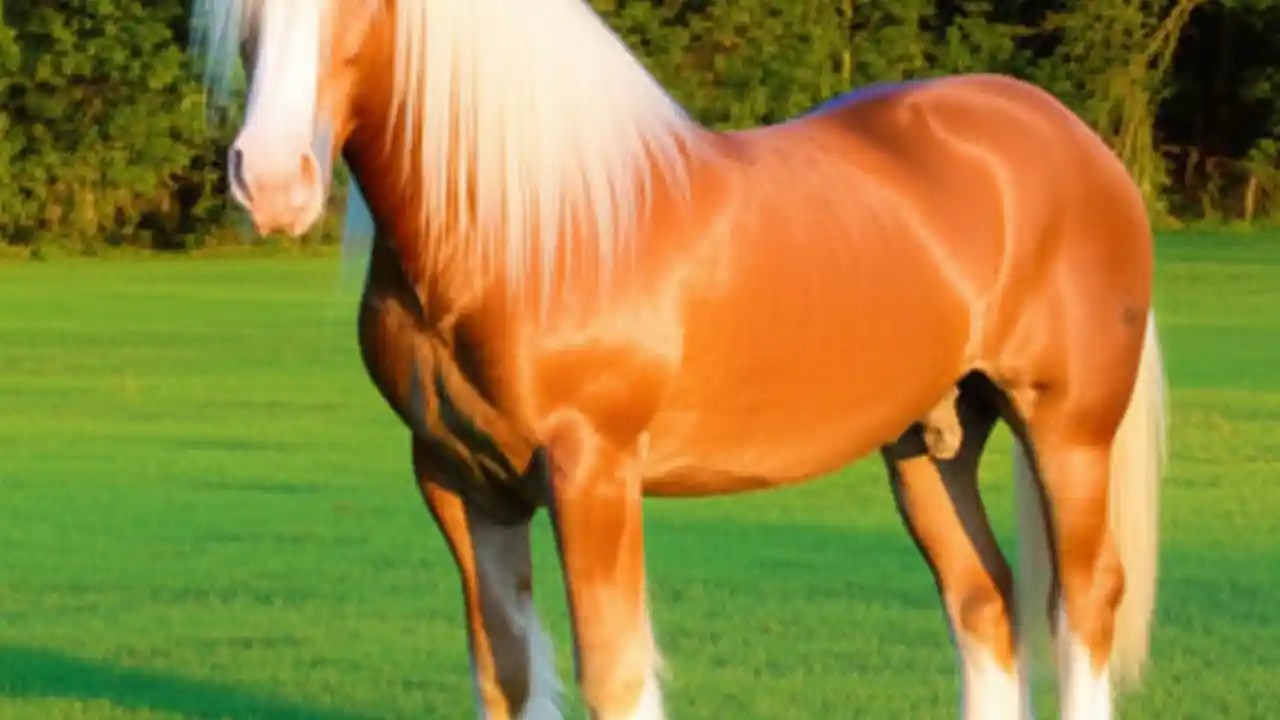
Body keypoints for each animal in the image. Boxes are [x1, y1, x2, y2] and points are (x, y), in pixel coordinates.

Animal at [192, 1, 1168, 718]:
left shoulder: (593, 474)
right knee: (982, 604)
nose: (270, 181)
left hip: (1067, 431)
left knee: (1083, 604)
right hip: (931, 444)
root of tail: (1072, 139)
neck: (534, 231)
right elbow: (506, 674)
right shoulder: (458, 480)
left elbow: (615, 675)